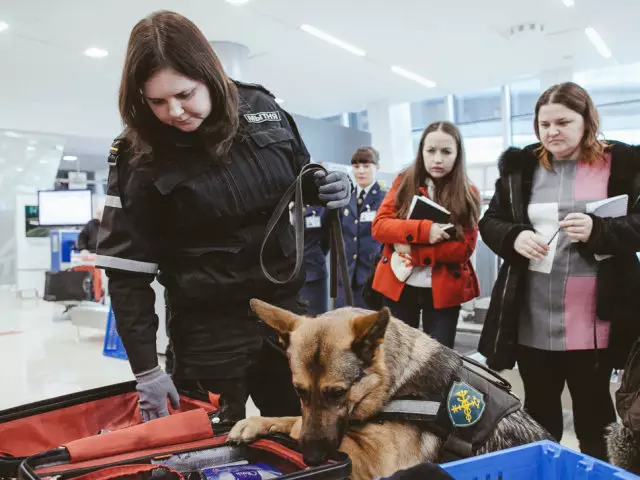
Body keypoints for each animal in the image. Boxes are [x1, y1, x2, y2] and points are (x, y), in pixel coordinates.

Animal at [228, 302, 552, 478]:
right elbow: (294, 417)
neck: (393, 385)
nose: (312, 459)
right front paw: (255, 422)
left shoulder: (379, 462)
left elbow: (300, 424)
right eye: (299, 392)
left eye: (337, 393)